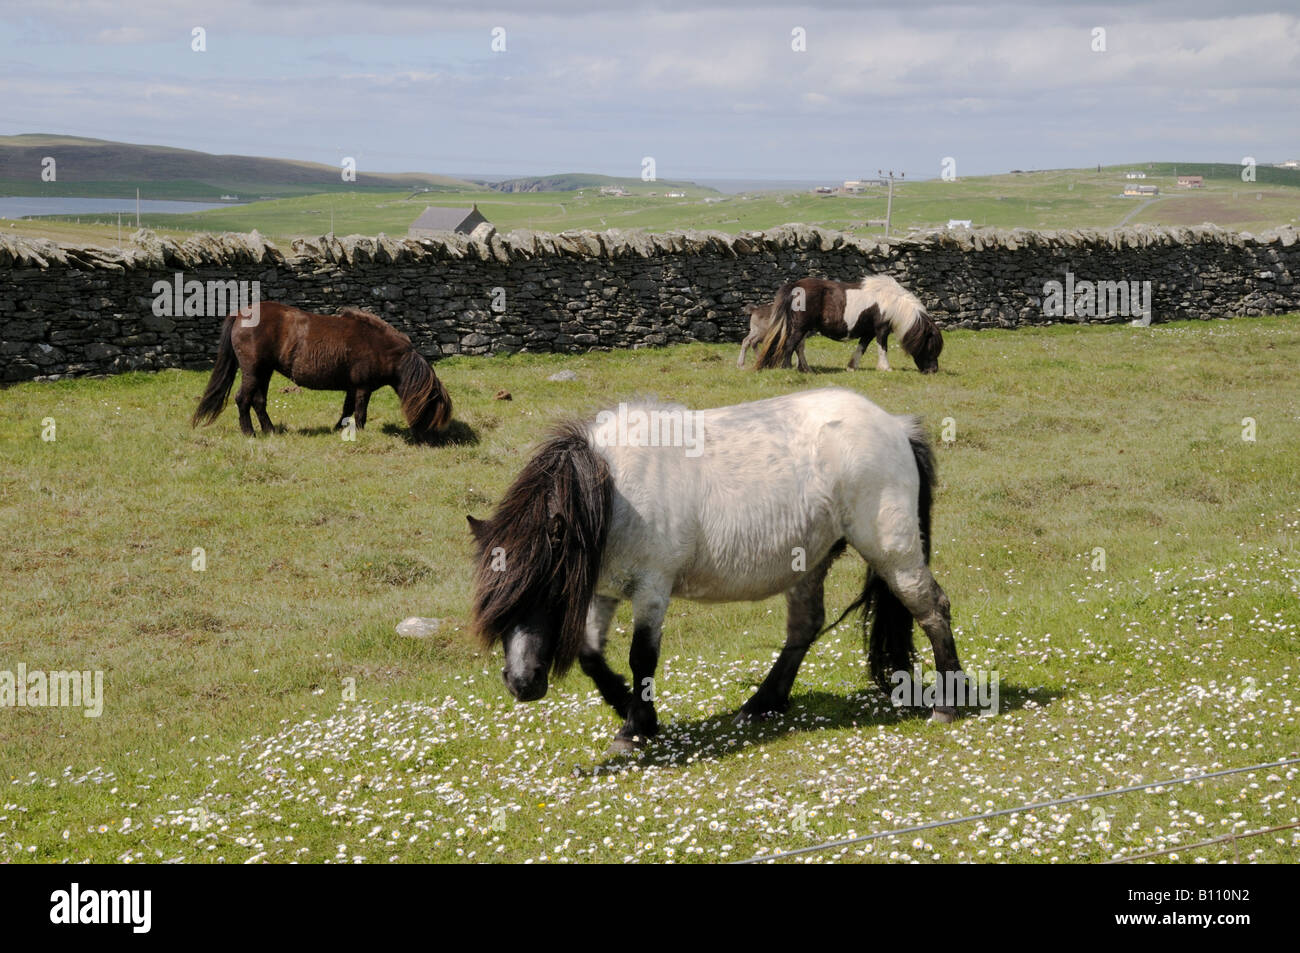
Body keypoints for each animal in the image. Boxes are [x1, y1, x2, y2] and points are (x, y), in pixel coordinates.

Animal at [191, 302, 452, 438]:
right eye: (432, 408)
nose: (428, 436)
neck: (383, 347)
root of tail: (241, 314)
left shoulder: (352, 387)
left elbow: (347, 409)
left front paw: (339, 428)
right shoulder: (363, 388)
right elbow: (360, 412)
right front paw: (360, 433)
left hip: (265, 372)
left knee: (258, 401)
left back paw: (270, 430)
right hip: (253, 371)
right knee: (242, 399)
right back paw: (249, 433)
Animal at [468, 387, 964, 752]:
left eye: (548, 592)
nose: (522, 684)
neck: (614, 492)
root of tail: (896, 426)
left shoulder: (652, 588)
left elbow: (641, 657)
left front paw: (634, 728)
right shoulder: (605, 589)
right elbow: (592, 654)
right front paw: (636, 714)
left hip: (892, 550)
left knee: (932, 608)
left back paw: (948, 703)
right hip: (811, 559)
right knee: (805, 627)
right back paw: (763, 703)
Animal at [754, 275, 943, 374]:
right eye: (931, 346)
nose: (933, 371)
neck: (891, 302)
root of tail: (795, 286)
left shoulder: (868, 332)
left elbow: (861, 348)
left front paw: (852, 367)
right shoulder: (881, 330)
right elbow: (882, 349)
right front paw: (886, 368)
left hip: (804, 329)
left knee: (798, 347)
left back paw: (806, 369)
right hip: (800, 328)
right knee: (790, 345)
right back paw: (787, 368)